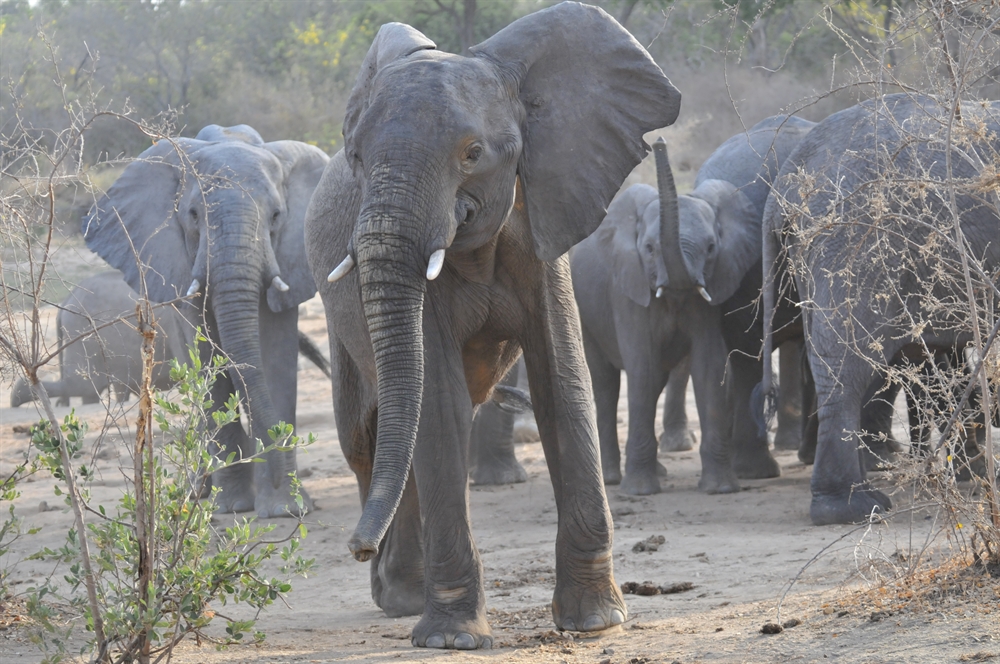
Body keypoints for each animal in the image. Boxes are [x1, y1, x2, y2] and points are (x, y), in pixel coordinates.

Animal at [10, 271, 332, 408]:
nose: (329, 371)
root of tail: (64, 304)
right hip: (83, 336)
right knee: (85, 384)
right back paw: (17, 397)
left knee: (86, 387)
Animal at [81, 123, 329, 518]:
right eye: (194, 215)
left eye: (277, 216)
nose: (285, 481)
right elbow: (207, 359)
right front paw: (235, 507)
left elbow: (274, 354)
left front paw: (283, 509)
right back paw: (201, 493)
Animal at [304, 3, 681, 649]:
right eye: (356, 159)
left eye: (473, 153)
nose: (355, 548)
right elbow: (438, 402)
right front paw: (451, 640)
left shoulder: (543, 222)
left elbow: (562, 382)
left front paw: (596, 622)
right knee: (367, 434)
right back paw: (399, 598)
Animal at [573, 115, 815, 495]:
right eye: (649, 249)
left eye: (712, 247)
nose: (659, 142)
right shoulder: (629, 291)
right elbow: (642, 367)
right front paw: (640, 491)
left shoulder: (709, 295)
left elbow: (708, 366)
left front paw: (720, 489)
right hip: (587, 315)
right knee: (606, 383)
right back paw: (613, 478)